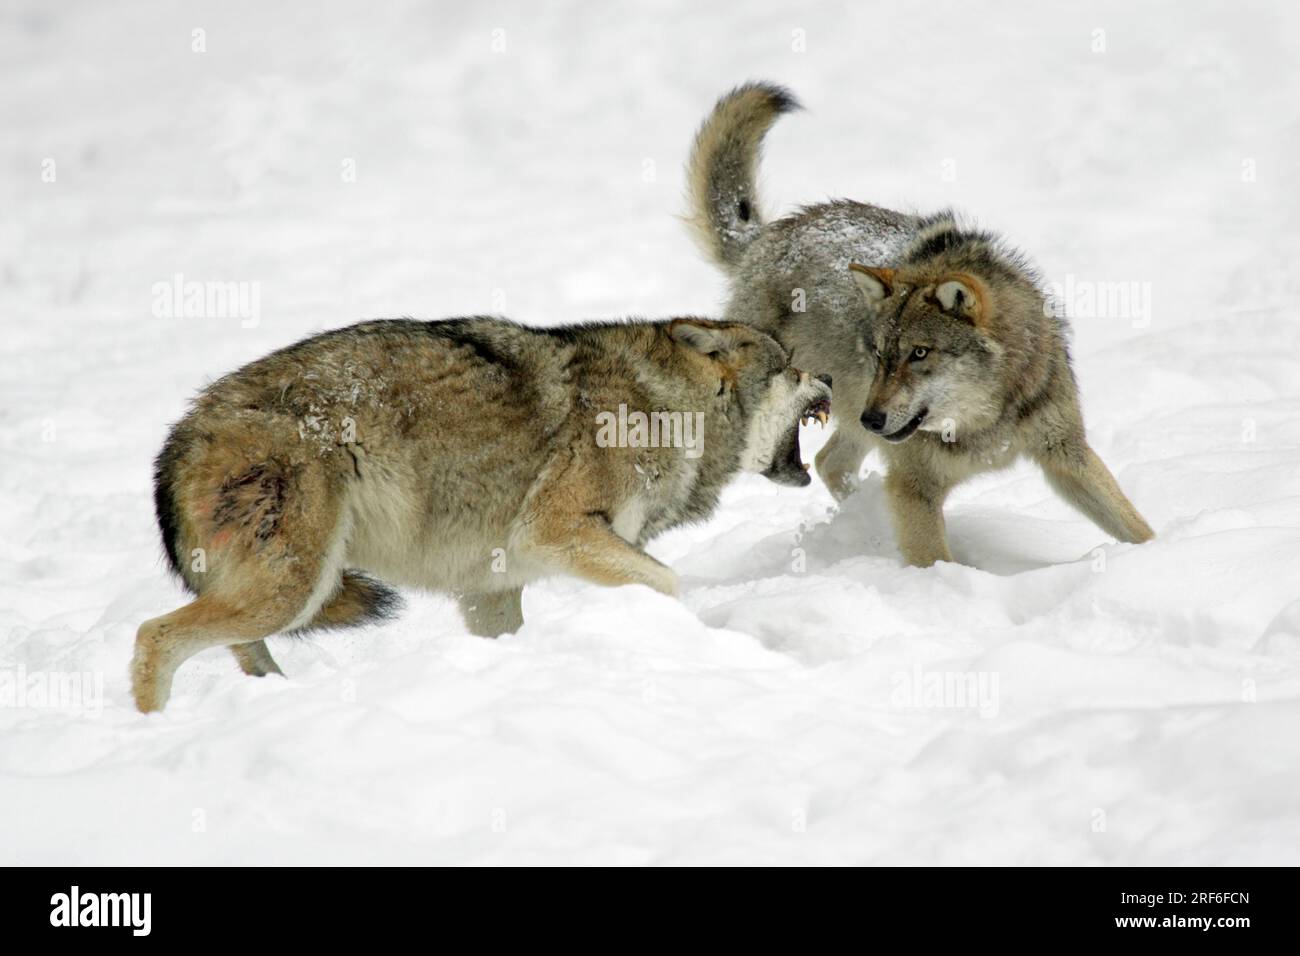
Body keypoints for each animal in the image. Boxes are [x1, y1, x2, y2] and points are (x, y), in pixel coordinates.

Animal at [135, 316, 830, 712]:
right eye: (791, 366)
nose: (826, 375)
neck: (666, 408)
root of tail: (185, 431)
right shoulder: (557, 530)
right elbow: (668, 582)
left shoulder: (490, 589)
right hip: (294, 588)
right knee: (153, 637)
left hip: (290, 592)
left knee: (235, 648)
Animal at [685, 82, 1153, 567]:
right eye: (879, 353)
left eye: (919, 353)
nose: (873, 417)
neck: (983, 424)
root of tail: (766, 237)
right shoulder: (914, 487)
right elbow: (933, 562)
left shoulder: (1068, 455)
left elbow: (1133, 523)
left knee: (831, 462)